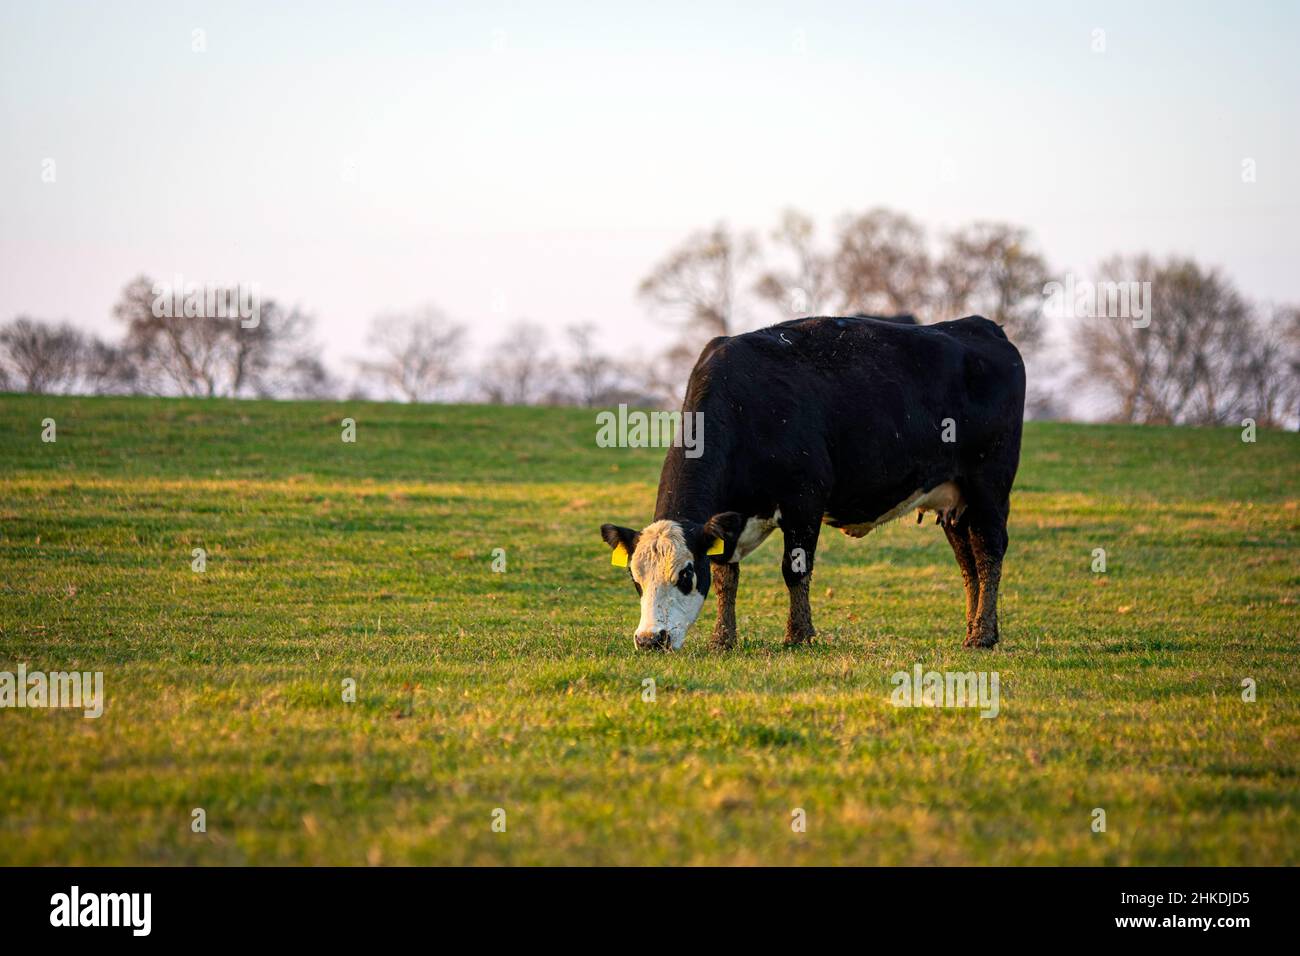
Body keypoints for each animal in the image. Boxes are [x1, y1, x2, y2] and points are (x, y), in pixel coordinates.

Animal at [600, 314, 1025, 651]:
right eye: (635, 579)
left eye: (686, 574)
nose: (650, 640)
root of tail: (981, 325)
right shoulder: (728, 520)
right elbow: (725, 577)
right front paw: (723, 639)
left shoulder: (804, 500)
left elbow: (795, 569)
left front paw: (798, 635)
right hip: (956, 500)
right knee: (969, 562)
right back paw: (978, 629)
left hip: (989, 485)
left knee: (989, 551)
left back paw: (982, 636)